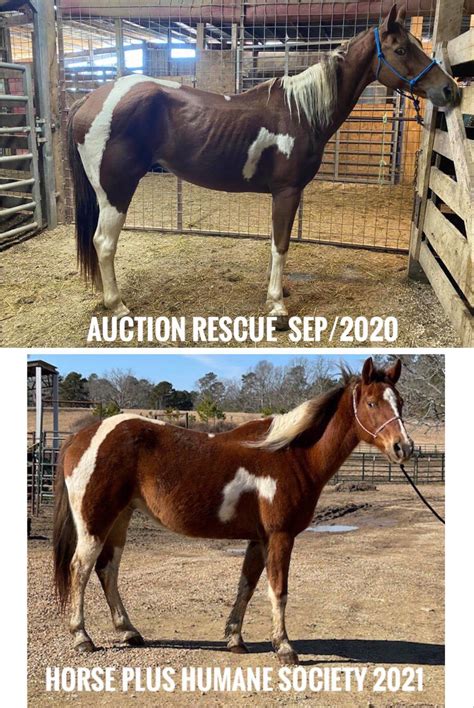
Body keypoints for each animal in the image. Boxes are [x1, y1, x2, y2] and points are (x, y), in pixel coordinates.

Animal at [53, 356, 413, 664]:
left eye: (400, 401)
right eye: (371, 403)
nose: (403, 447)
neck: (292, 454)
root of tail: (80, 437)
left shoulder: (259, 539)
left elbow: (247, 586)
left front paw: (235, 639)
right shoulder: (280, 536)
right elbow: (278, 590)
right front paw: (284, 648)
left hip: (120, 519)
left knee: (107, 570)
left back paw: (129, 632)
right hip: (94, 523)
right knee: (80, 569)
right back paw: (82, 637)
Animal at [66, 4, 458, 330]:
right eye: (402, 50)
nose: (450, 90)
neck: (302, 112)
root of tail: (90, 100)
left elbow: (276, 243)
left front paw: (279, 294)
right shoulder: (286, 192)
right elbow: (281, 245)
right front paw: (277, 309)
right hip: (116, 190)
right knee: (104, 242)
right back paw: (118, 307)